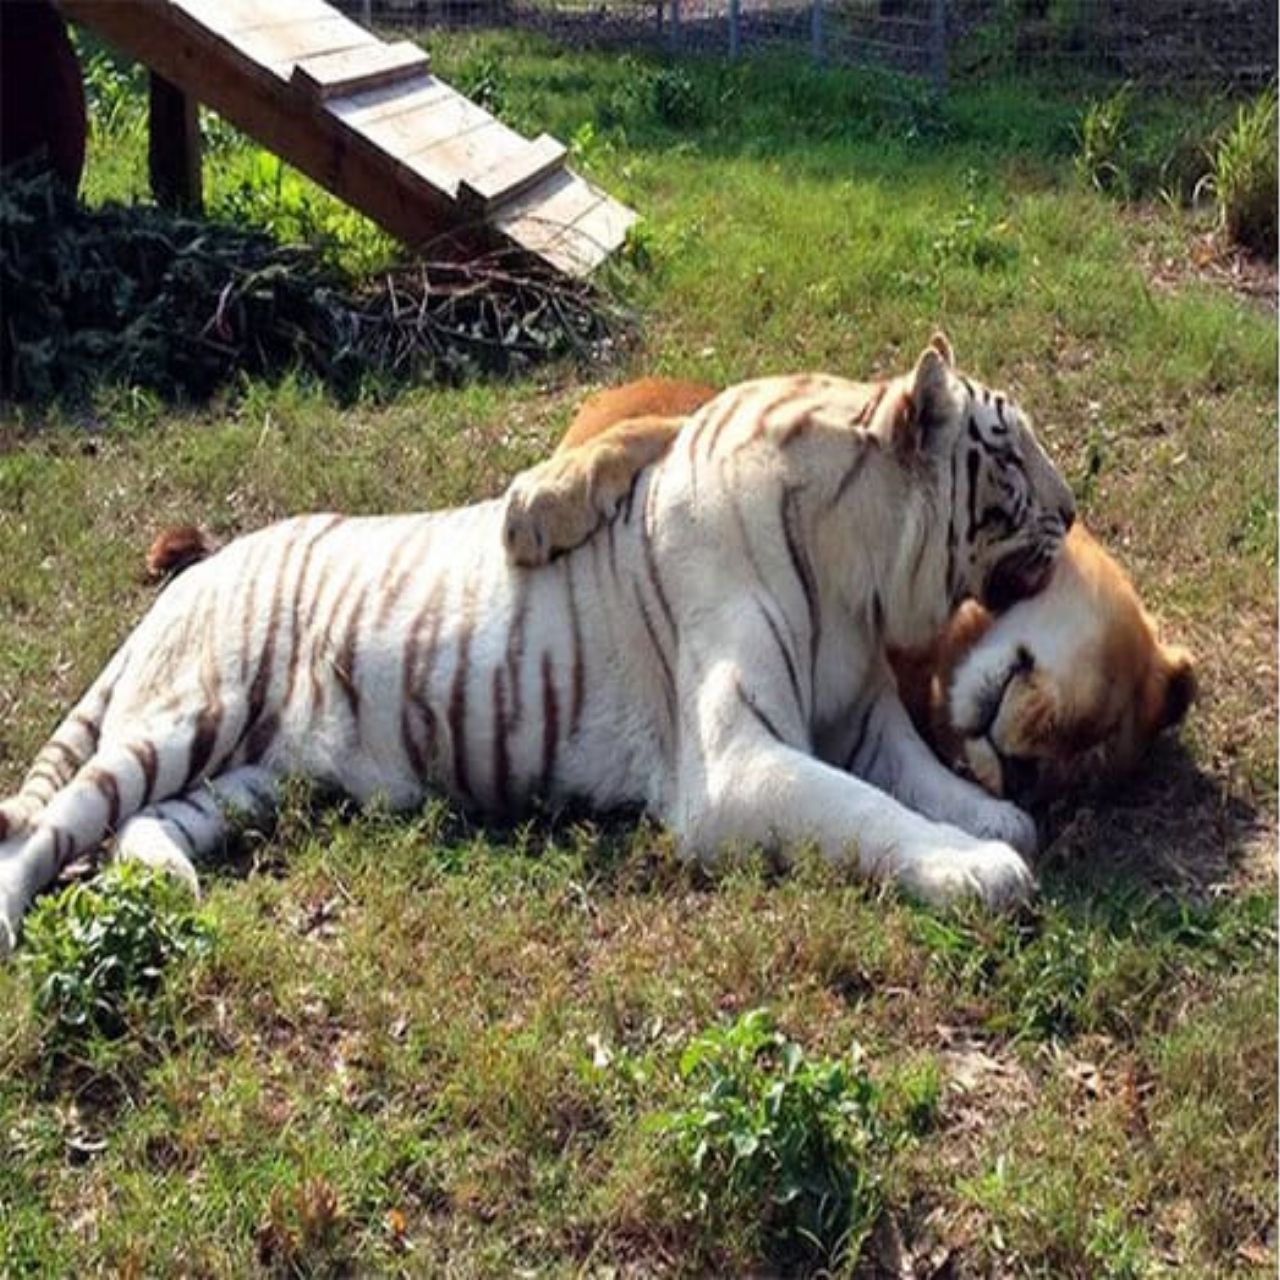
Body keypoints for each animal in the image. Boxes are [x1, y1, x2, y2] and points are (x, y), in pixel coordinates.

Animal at [0, 335, 1075, 955]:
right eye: (1012, 452)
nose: (1073, 511)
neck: (859, 574)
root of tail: (187, 577)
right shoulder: (739, 762)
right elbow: (866, 812)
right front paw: (981, 870)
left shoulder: (861, 719)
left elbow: (923, 779)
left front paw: (996, 820)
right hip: (188, 718)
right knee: (49, 825)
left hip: (250, 771)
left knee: (143, 825)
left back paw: (172, 887)